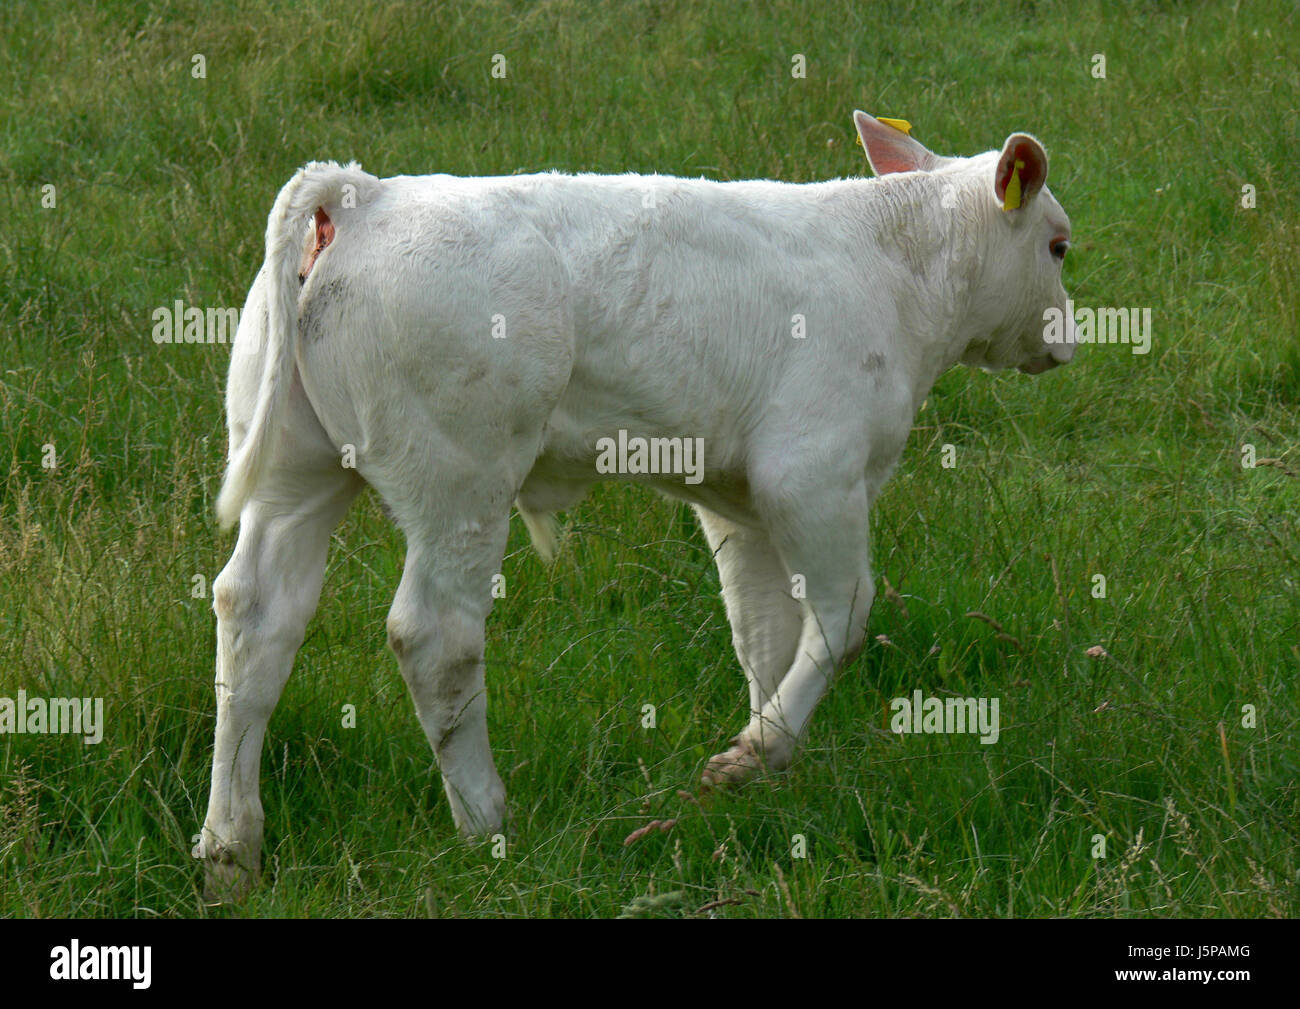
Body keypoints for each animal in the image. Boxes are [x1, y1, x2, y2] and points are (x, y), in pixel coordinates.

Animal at [194, 111, 1076, 899]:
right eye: (1059, 244)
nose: (1065, 339)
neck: (895, 267)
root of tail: (363, 194)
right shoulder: (812, 471)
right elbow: (842, 617)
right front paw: (753, 756)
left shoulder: (740, 502)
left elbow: (764, 632)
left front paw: (771, 763)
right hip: (462, 478)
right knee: (435, 638)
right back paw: (486, 821)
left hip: (296, 470)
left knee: (256, 617)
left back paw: (231, 849)